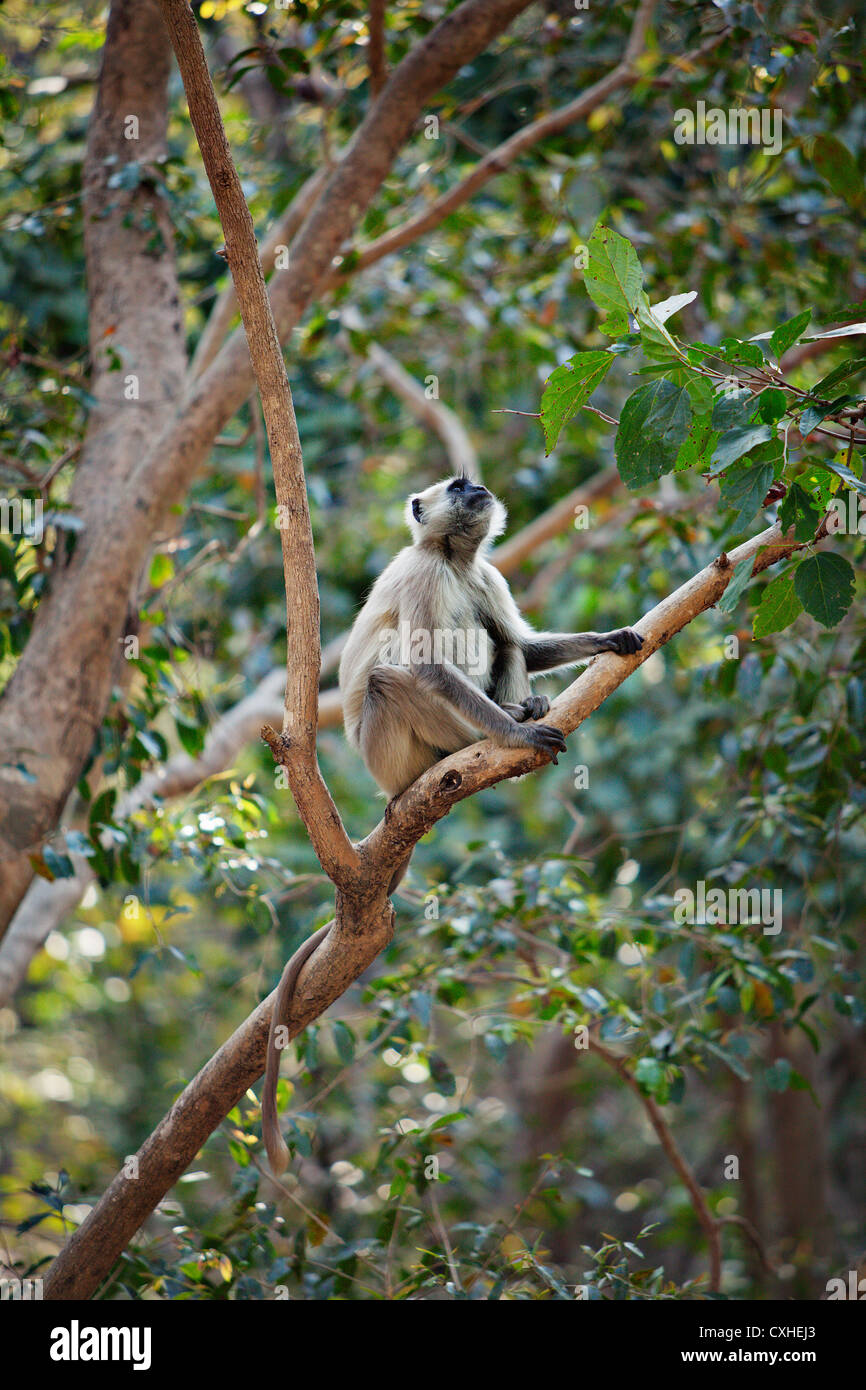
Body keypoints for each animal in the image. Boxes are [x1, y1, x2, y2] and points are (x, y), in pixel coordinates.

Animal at [261, 473, 643, 1172]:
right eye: (459, 488)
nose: (481, 488)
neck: (453, 558)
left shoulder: (483, 572)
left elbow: (521, 640)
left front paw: (609, 639)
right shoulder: (424, 575)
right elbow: (430, 666)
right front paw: (517, 733)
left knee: (501, 638)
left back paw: (525, 706)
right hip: (394, 749)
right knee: (393, 677)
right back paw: (493, 739)